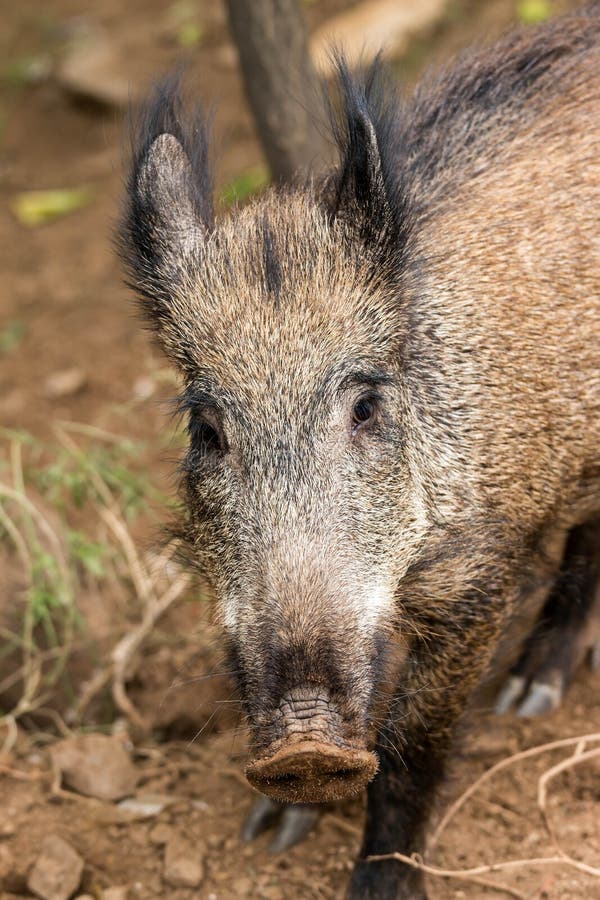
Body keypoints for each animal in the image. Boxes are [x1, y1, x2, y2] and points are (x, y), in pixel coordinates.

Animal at [119, 8, 600, 898]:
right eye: (207, 429)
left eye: (366, 406)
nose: (304, 750)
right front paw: (271, 833)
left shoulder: (480, 576)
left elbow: (411, 744)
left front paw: (378, 884)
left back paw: (528, 698)